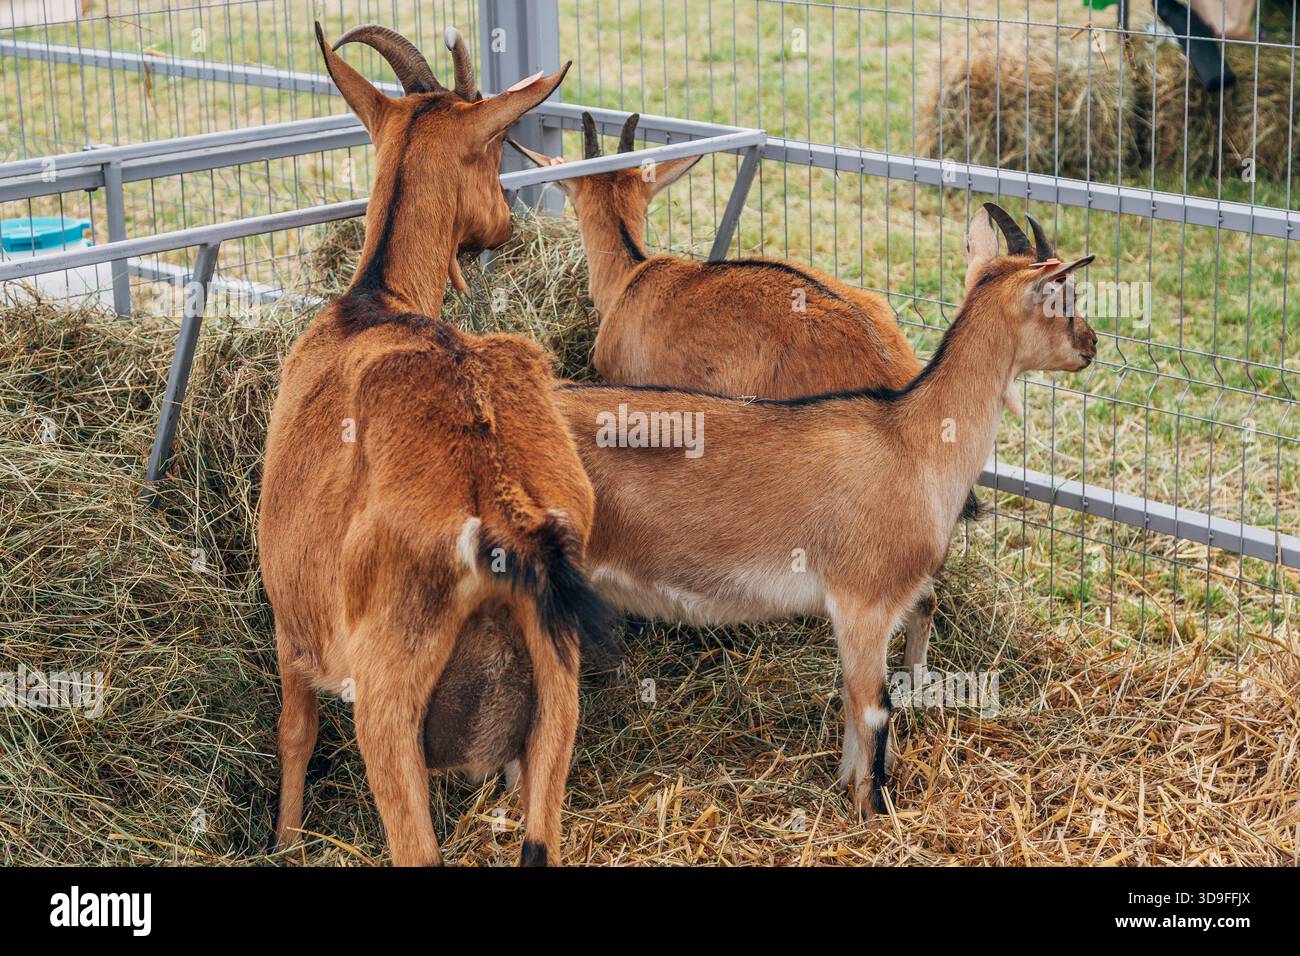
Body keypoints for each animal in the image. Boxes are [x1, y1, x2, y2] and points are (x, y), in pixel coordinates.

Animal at [259, 23, 612, 867]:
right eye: (489, 155)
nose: (505, 225)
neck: (374, 299)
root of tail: (499, 504)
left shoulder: (292, 623)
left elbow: (295, 732)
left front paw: (284, 838)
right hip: (558, 689)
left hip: (388, 705)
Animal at [549, 203, 1097, 814]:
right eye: (1065, 297)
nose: (1091, 345)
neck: (912, 442)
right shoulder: (866, 601)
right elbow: (873, 709)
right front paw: (871, 809)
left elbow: (854, 708)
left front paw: (842, 784)